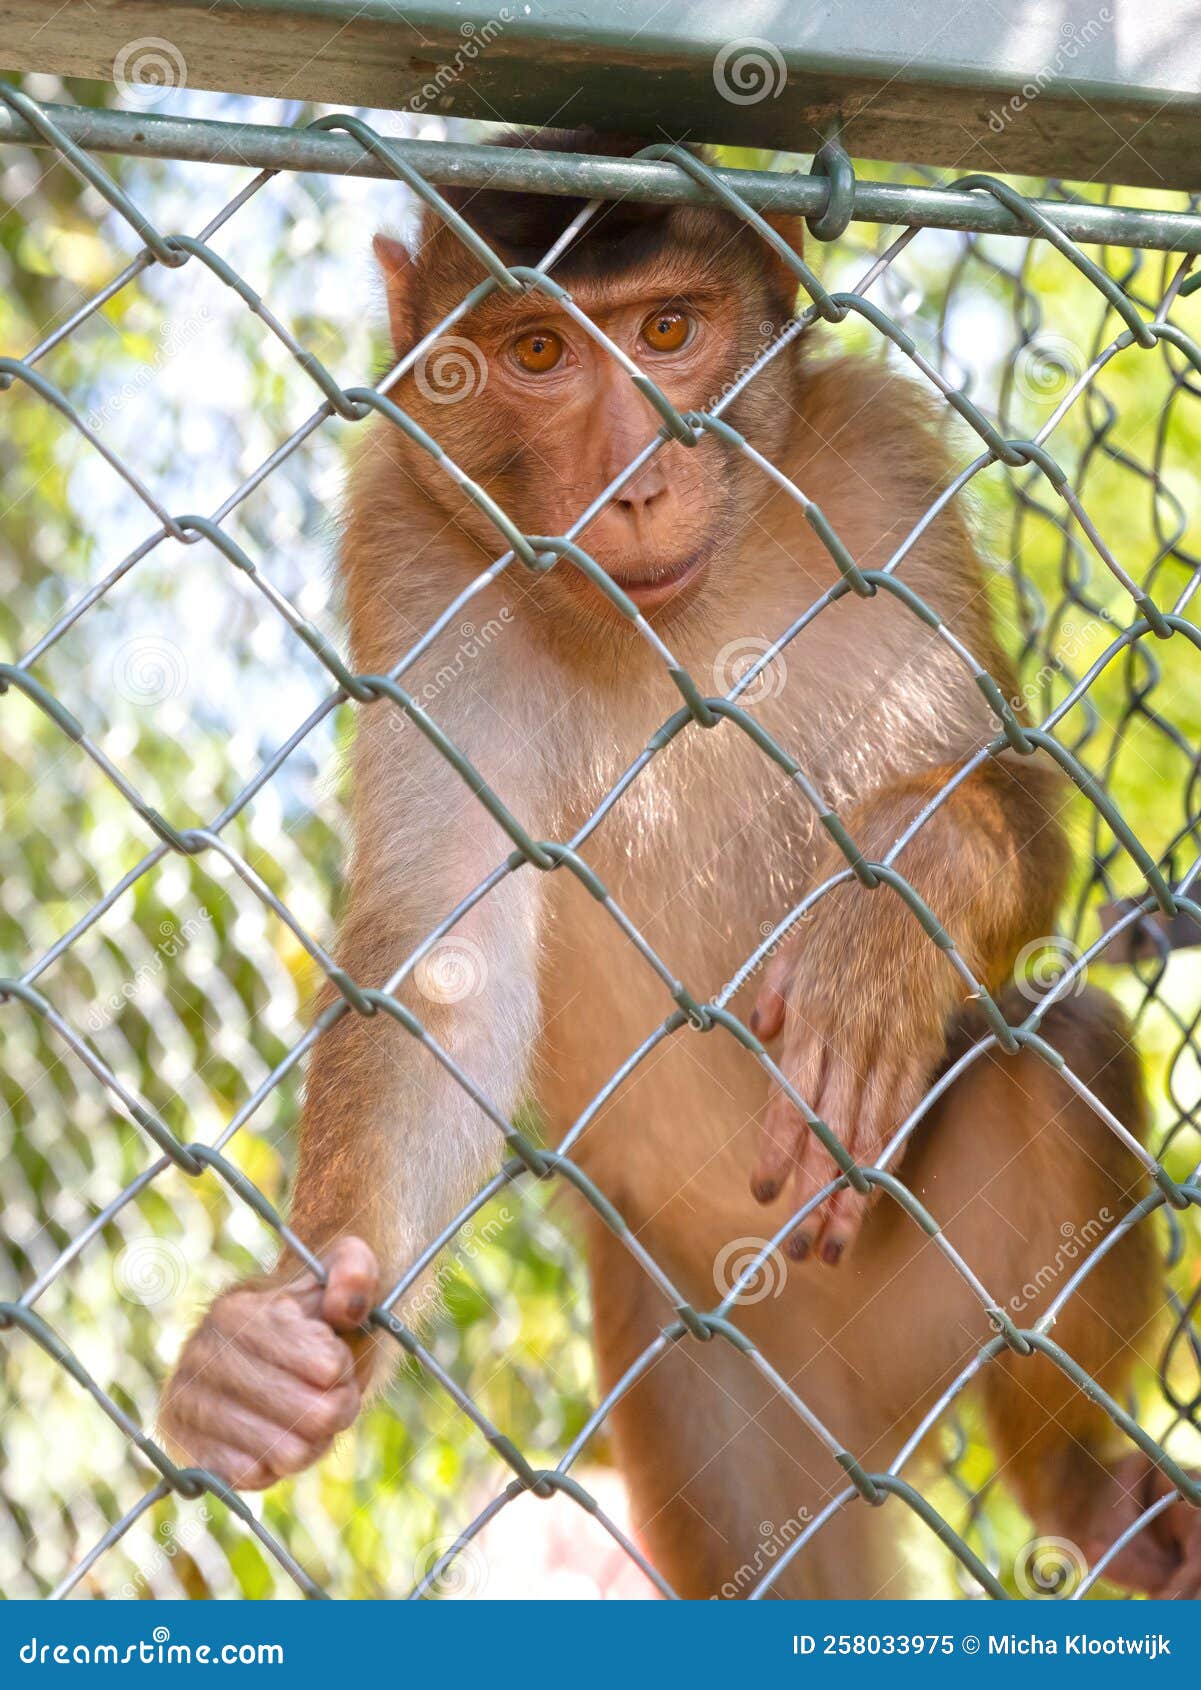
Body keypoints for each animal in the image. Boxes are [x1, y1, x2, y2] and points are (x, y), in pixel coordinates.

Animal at [159, 131, 1201, 1600]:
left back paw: (1073, 1480)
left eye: (668, 331)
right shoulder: (412, 547)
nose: (640, 479)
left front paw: (896, 905)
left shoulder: (882, 458)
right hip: (703, 1373)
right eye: (538, 350)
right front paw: (262, 1358)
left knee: (1061, 1050)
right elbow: (446, 961)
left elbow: (1020, 800)